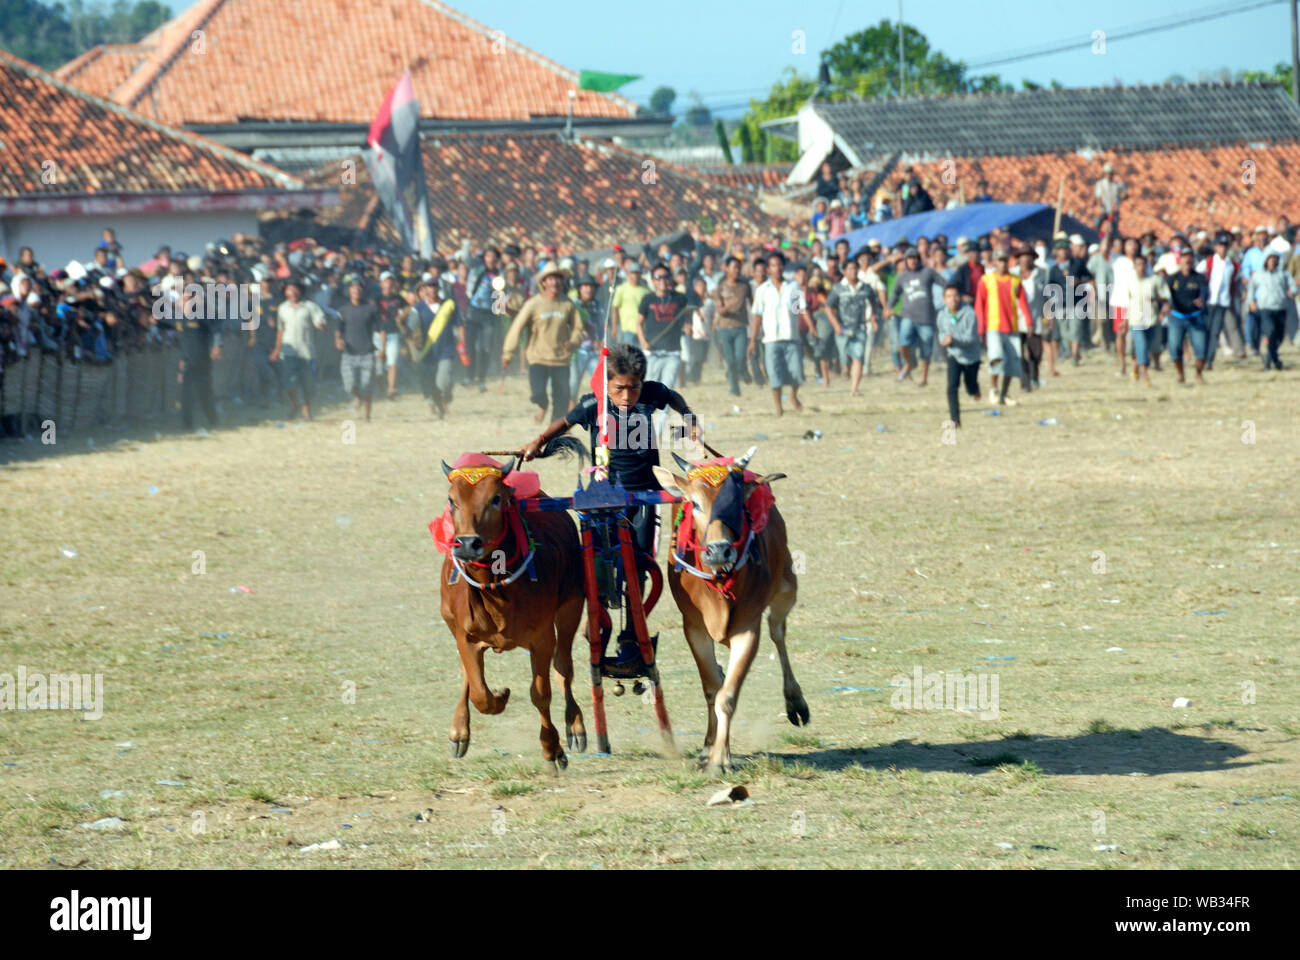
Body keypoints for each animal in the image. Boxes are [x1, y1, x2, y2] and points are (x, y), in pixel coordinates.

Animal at [439, 450, 587, 770]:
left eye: (496, 498)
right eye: (451, 500)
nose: (467, 544)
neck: (494, 591)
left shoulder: (543, 637)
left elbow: (541, 693)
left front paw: (553, 749)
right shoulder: (464, 636)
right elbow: (479, 692)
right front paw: (499, 697)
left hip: (571, 607)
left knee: (564, 668)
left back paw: (576, 726)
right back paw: (459, 731)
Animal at [655, 444, 806, 775]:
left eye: (736, 503)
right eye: (694, 503)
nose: (718, 551)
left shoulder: (748, 629)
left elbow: (728, 696)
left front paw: (720, 760)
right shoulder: (694, 628)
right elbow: (713, 688)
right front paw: (709, 751)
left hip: (786, 588)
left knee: (778, 631)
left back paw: (796, 703)